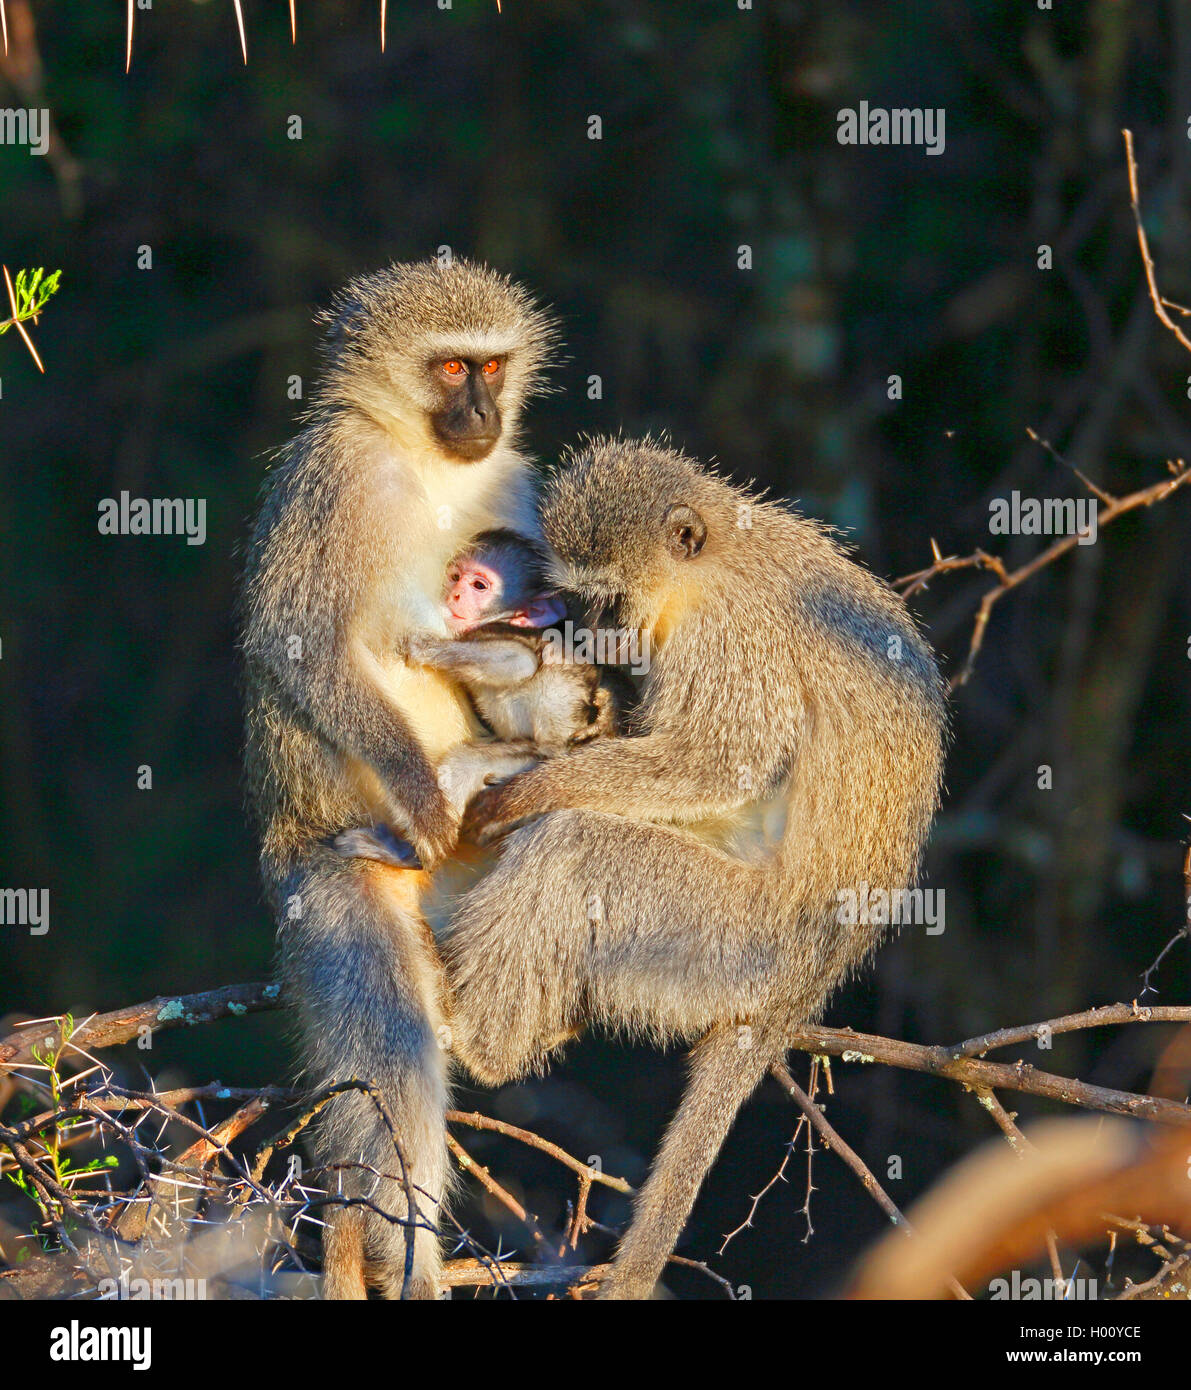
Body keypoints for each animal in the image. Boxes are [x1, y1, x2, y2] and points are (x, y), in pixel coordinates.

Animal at [241, 255, 561, 1295]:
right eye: (450, 368)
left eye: (492, 367)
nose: (482, 412)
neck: (421, 458)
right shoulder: (334, 476)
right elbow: (299, 648)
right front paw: (424, 798)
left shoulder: (511, 479)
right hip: (332, 874)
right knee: (393, 1051)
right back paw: (407, 1253)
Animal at [334, 528, 628, 867]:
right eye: (455, 576)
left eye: (478, 586)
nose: (454, 595)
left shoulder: (496, 632)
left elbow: (518, 661)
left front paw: (422, 646)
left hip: (539, 766)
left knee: (470, 762)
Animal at [444, 439, 950, 1295]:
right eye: (577, 602)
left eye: (608, 603)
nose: (594, 637)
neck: (715, 561)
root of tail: (796, 990)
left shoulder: (729, 642)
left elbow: (713, 765)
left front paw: (523, 793)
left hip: (722, 939)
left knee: (571, 849)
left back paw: (483, 1046)